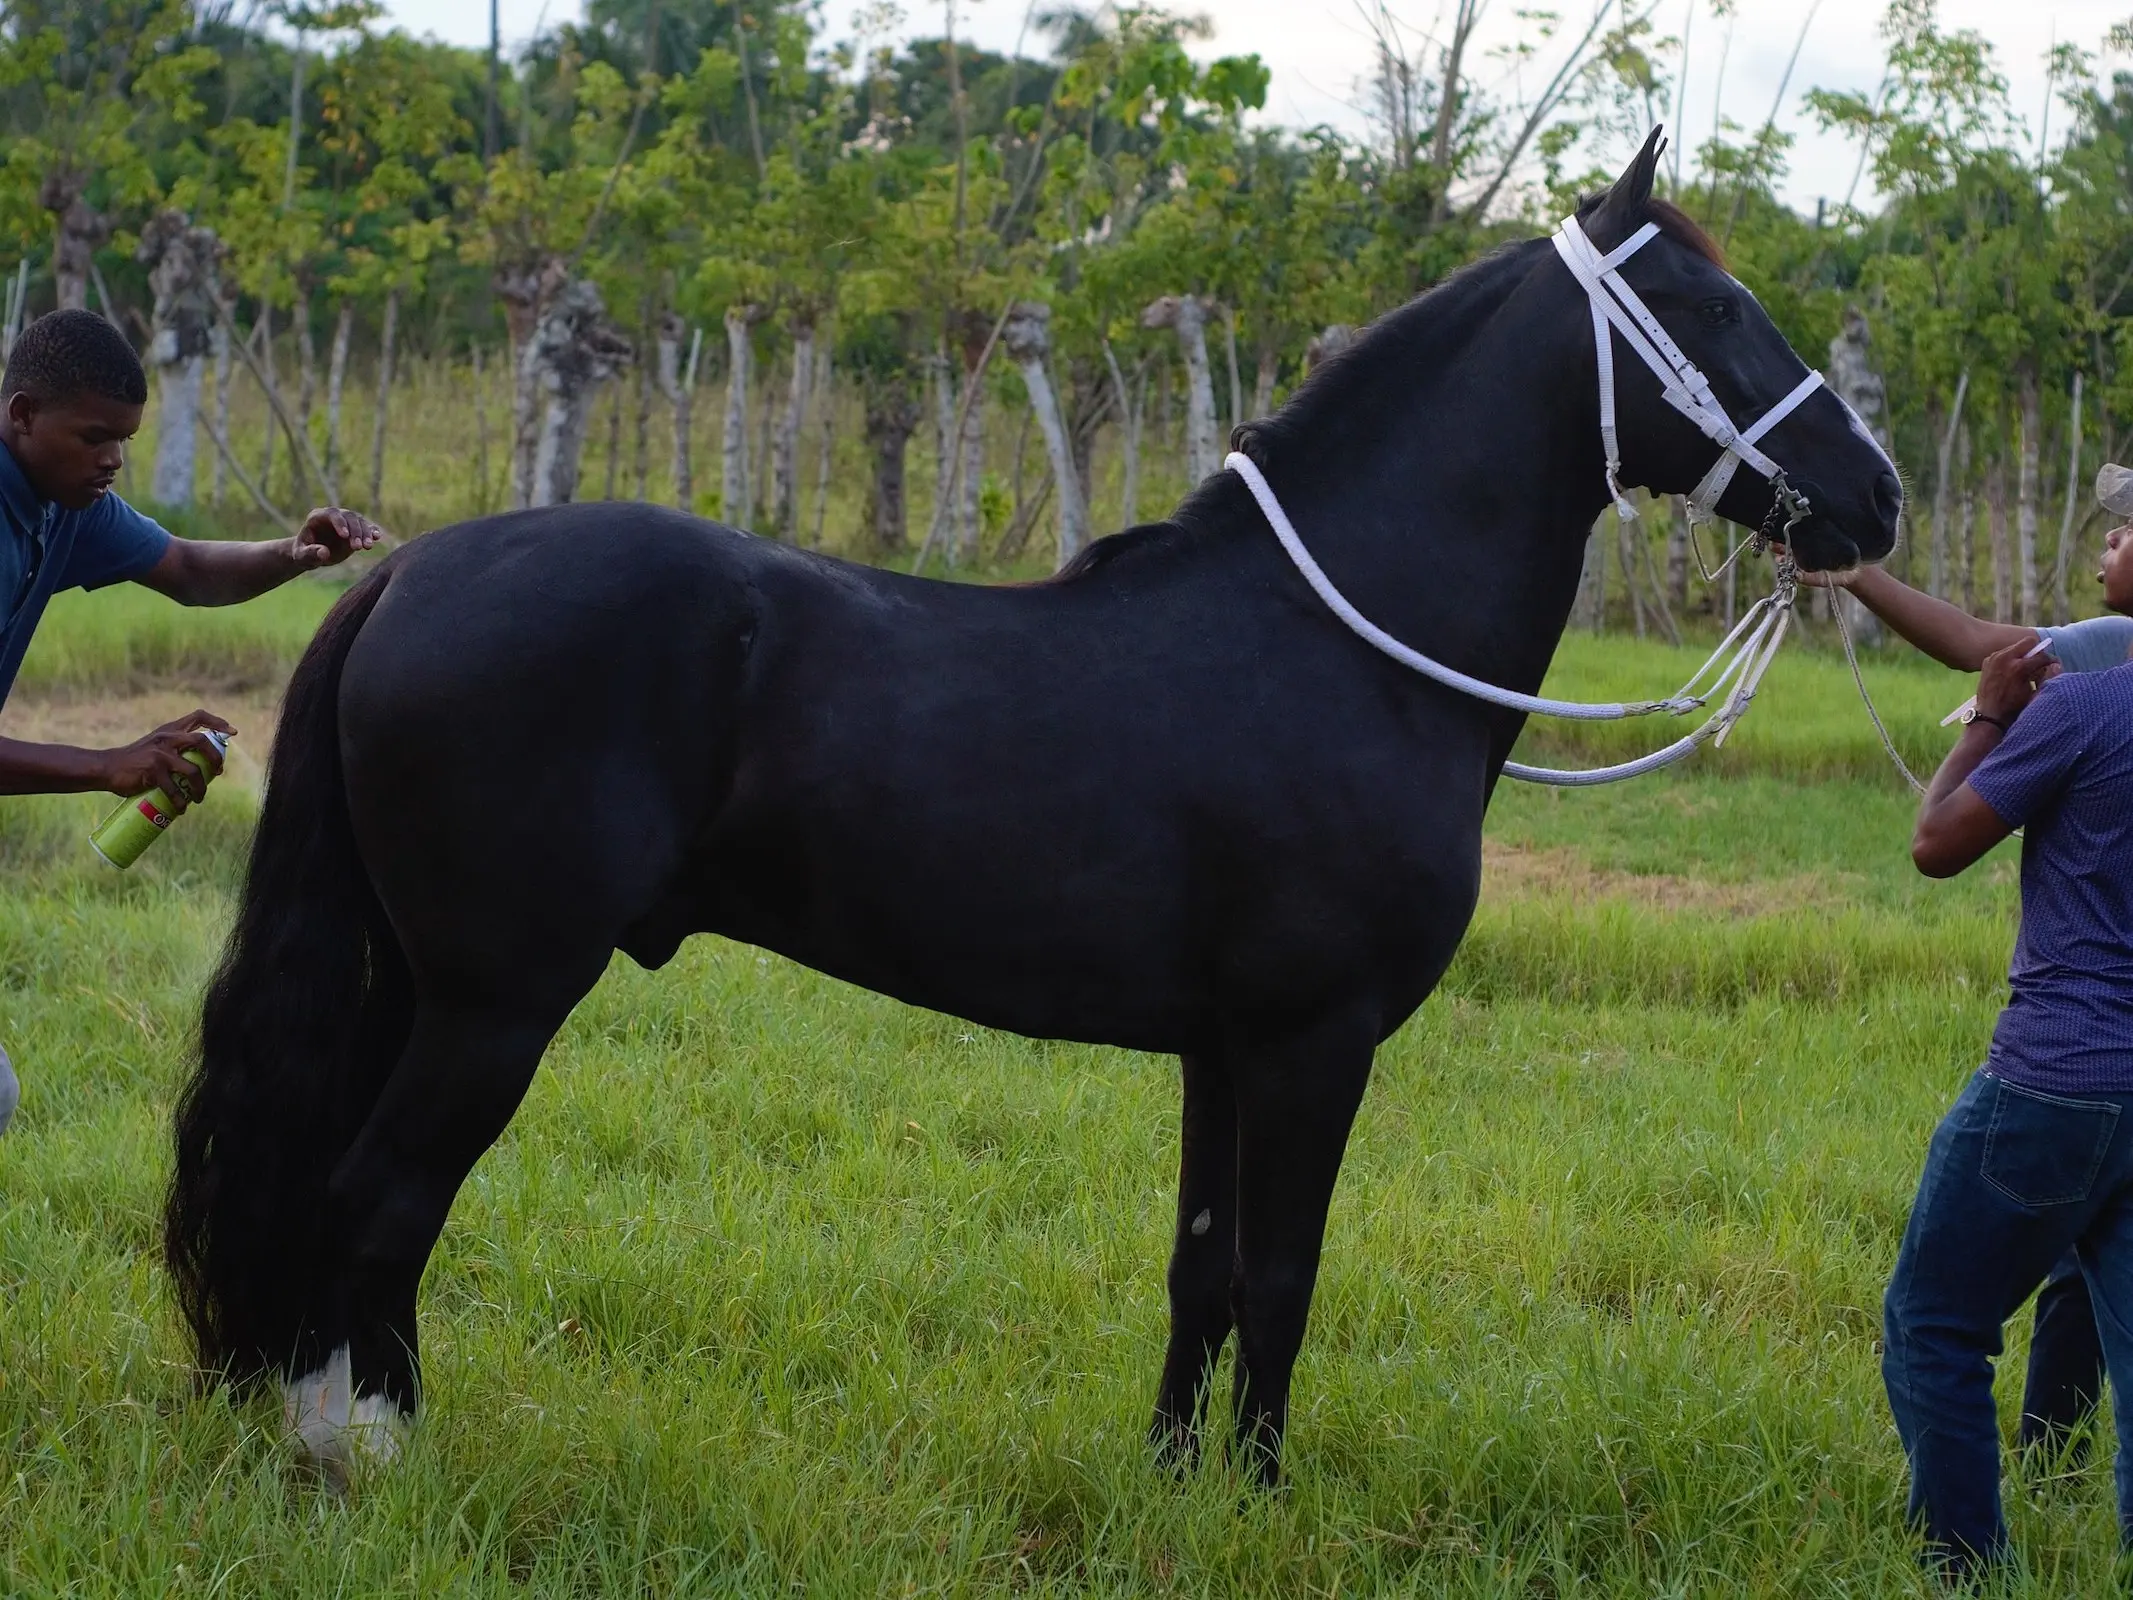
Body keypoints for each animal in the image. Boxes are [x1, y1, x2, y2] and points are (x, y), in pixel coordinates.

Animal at [165, 132, 1901, 1485]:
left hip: (425, 987)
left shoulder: (1225, 1047)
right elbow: (1283, 1273)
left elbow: (1202, 1270)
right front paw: (1263, 1498)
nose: (1874, 497)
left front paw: (1180, 1484)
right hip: (497, 1000)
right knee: (379, 1202)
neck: (1338, 641)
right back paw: (362, 1458)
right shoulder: (1316, 1040)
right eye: (1714, 309)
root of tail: (409, 571)